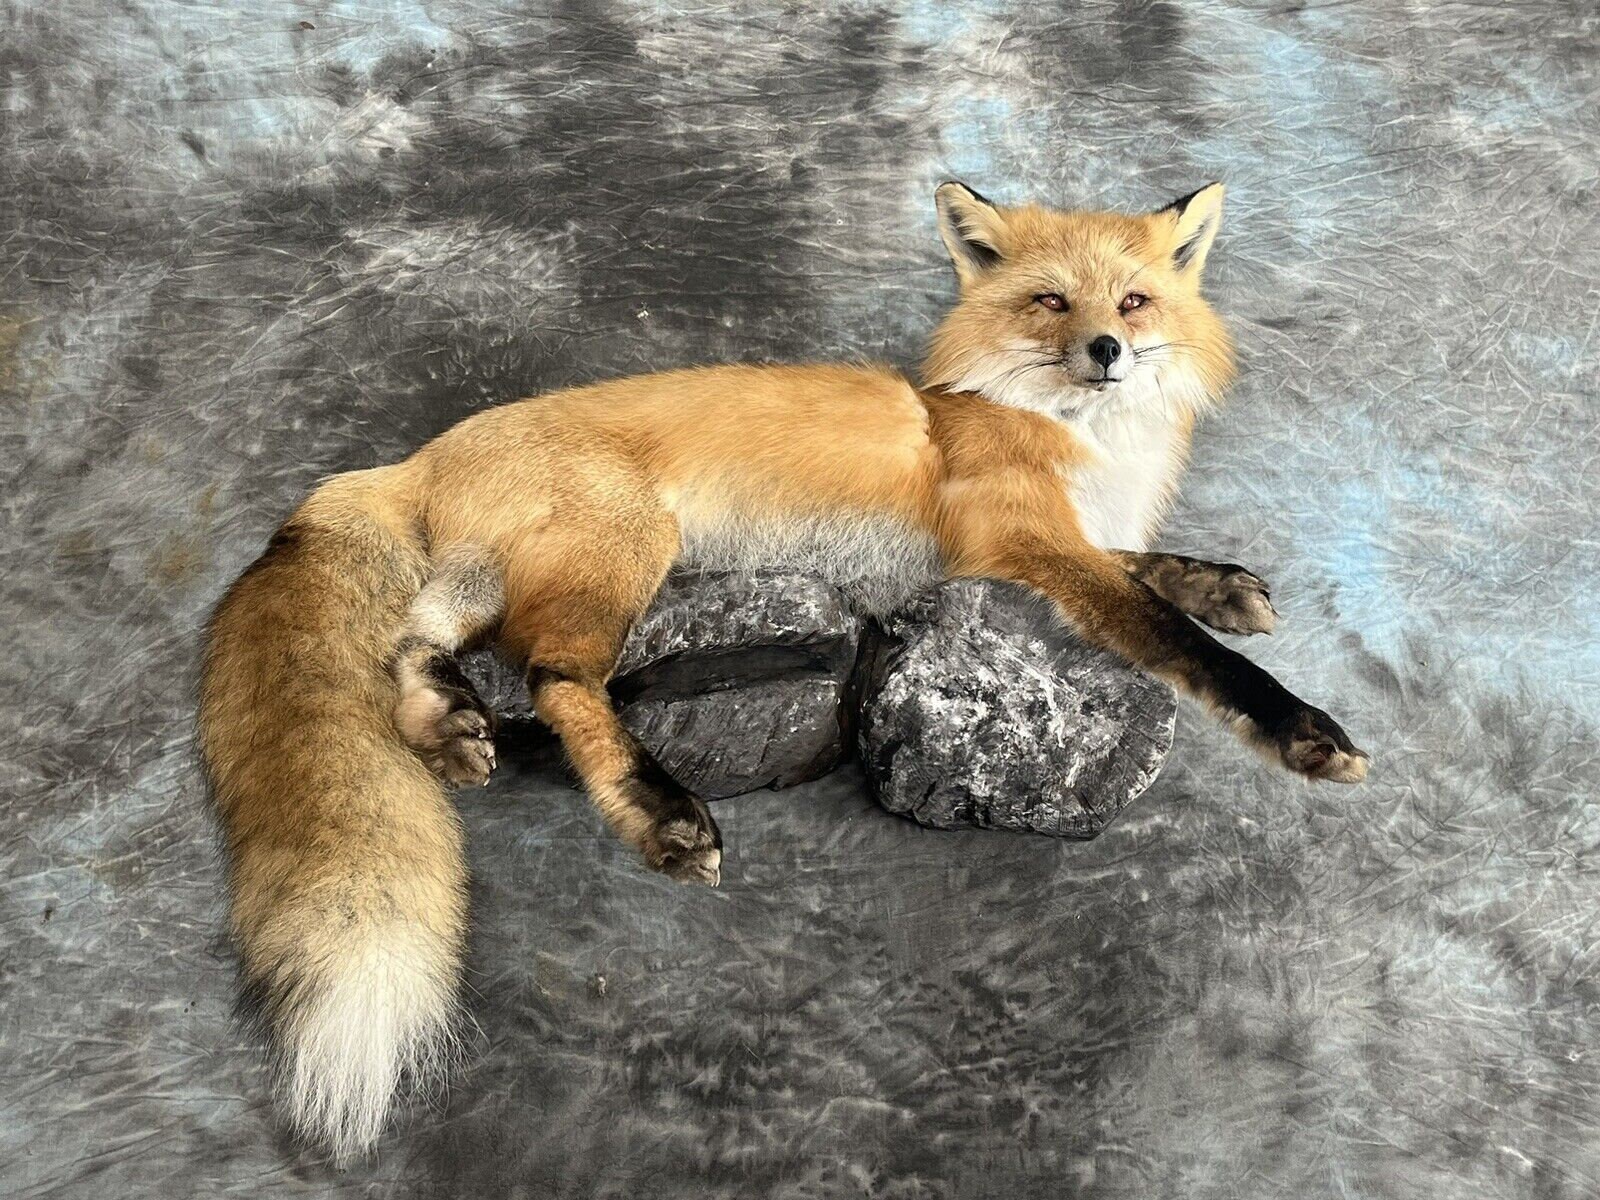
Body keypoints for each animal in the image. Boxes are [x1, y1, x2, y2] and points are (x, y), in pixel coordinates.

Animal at [199, 180, 1369, 1160]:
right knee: (557, 679)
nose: (1105, 351)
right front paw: (1298, 730)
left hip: (490, 583)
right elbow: (1175, 640)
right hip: (626, 553)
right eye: (1050, 301)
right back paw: (656, 812)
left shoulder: (1026, 548)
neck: (1071, 436)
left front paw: (1220, 581)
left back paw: (442, 723)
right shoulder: (1019, 542)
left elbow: (1156, 577)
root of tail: (419, 453)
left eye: (1132, 300)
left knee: (412, 649)